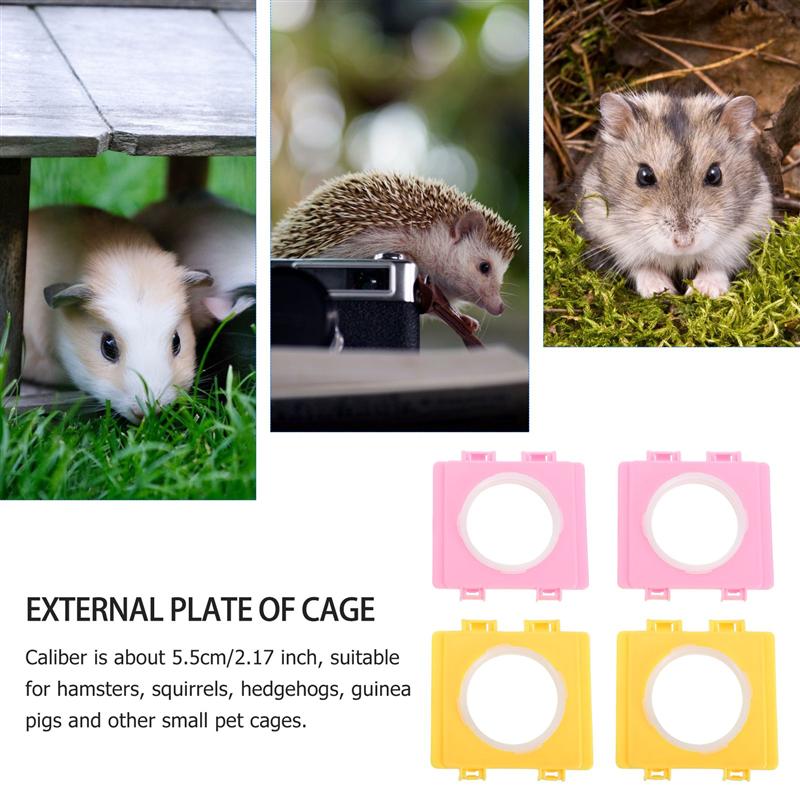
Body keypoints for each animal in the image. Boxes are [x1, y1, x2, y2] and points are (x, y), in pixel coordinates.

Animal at [575, 92, 773, 298]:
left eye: (714, 175)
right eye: (644, 176)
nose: (684, 243)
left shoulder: (746, 232)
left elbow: (716, 265)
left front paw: (704, 291)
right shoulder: (606, 233)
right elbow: (642, 266)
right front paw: (660, 290)